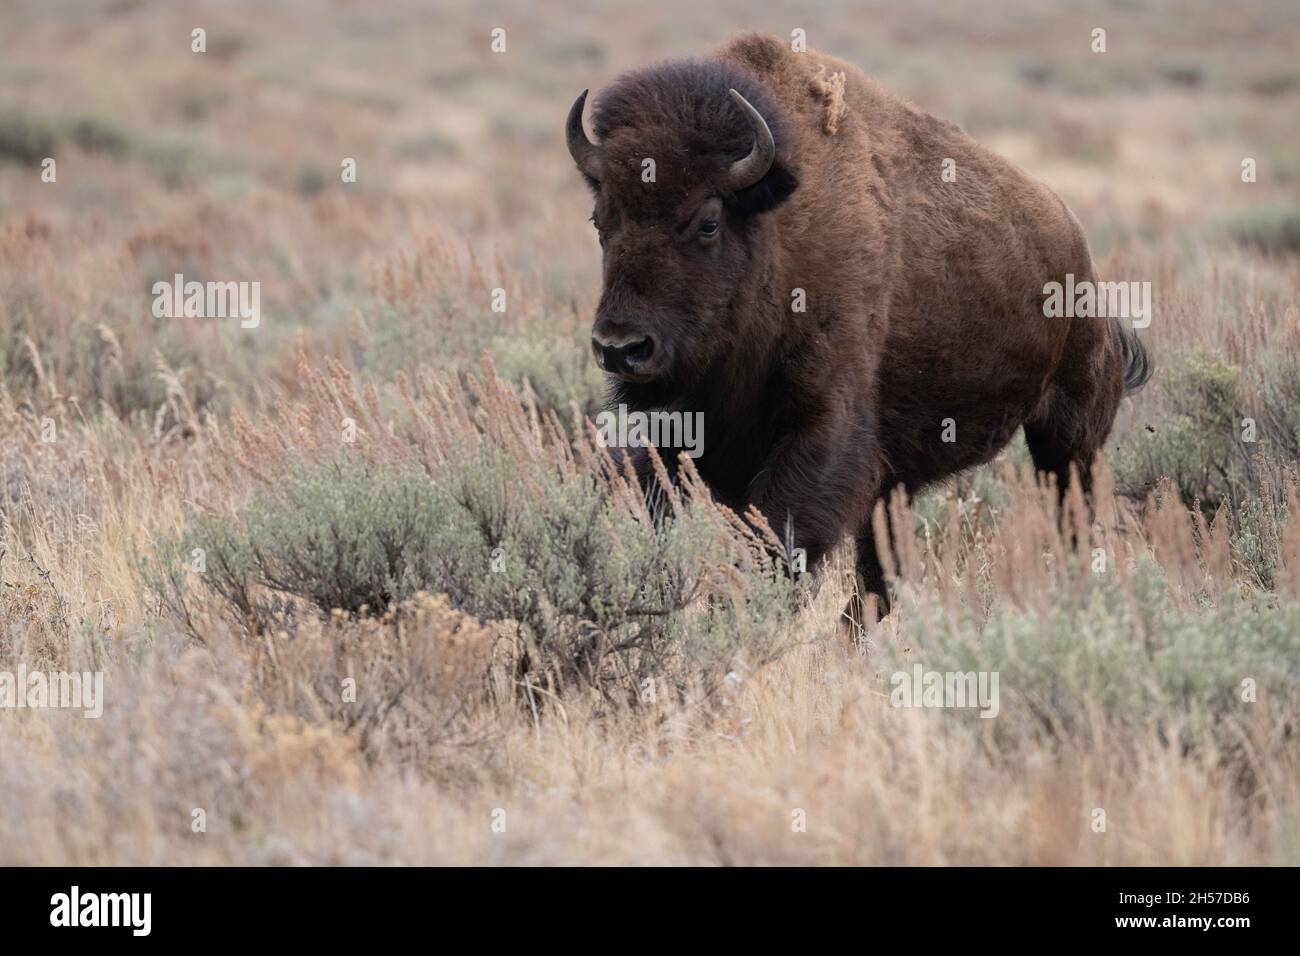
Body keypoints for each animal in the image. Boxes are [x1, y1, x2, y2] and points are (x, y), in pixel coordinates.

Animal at [566, 32, 1150, 623]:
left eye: (709, 222)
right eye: (599, 220)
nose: (620, 347)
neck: (778, 231)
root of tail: (1077, 245)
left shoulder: (823, 432)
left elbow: (776, 538)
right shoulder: (673, 430)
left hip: (1070, 437)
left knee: (1071, 515)